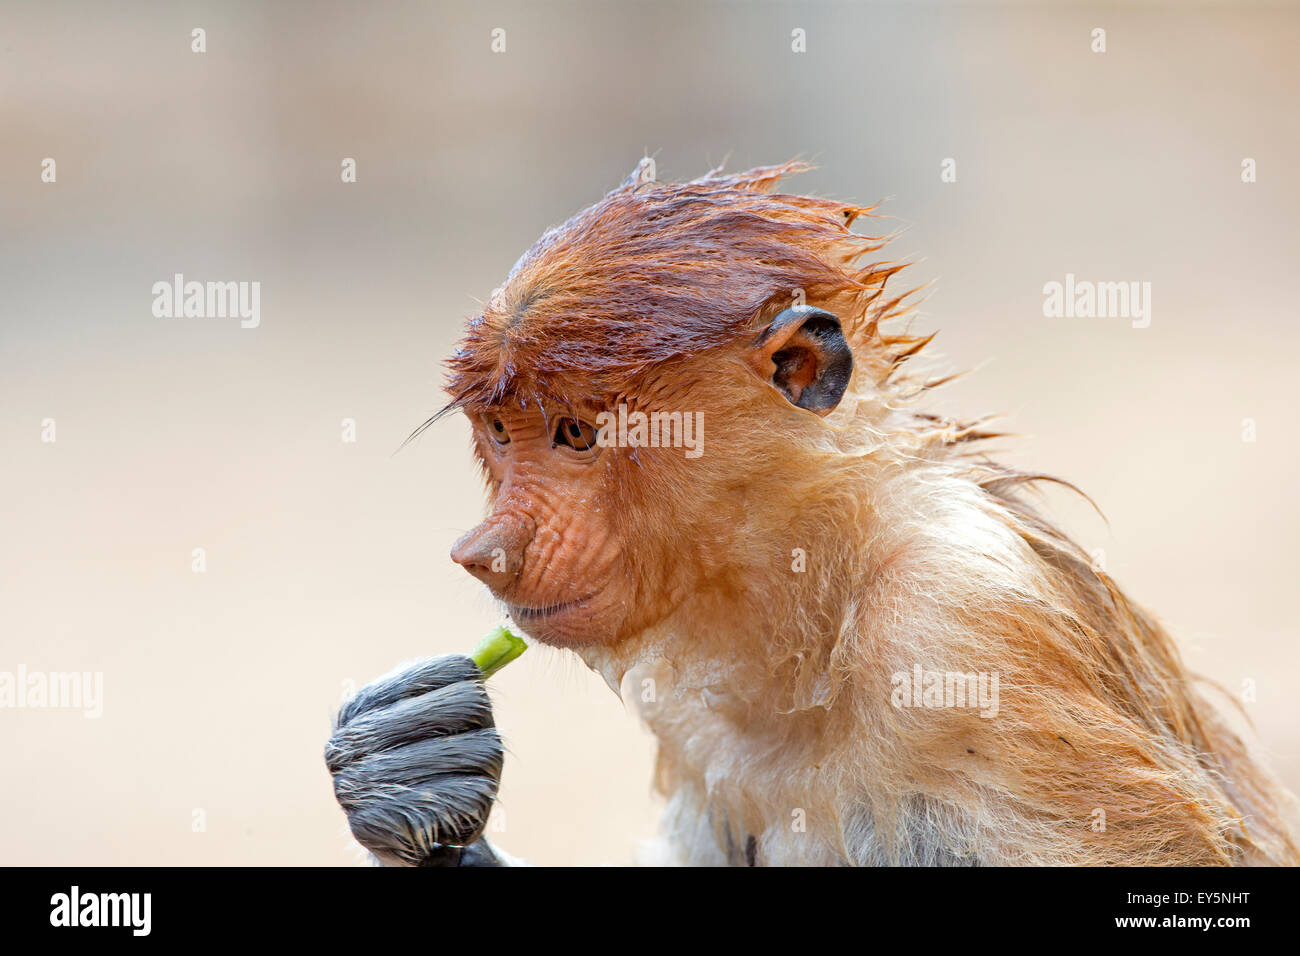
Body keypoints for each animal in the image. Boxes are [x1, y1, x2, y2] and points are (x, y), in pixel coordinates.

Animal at [326, 159, 1300, 866]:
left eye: (574, 434)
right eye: (501, 432)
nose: (485, 549)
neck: (824, 594)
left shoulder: (959, 632)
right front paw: (405, 773)